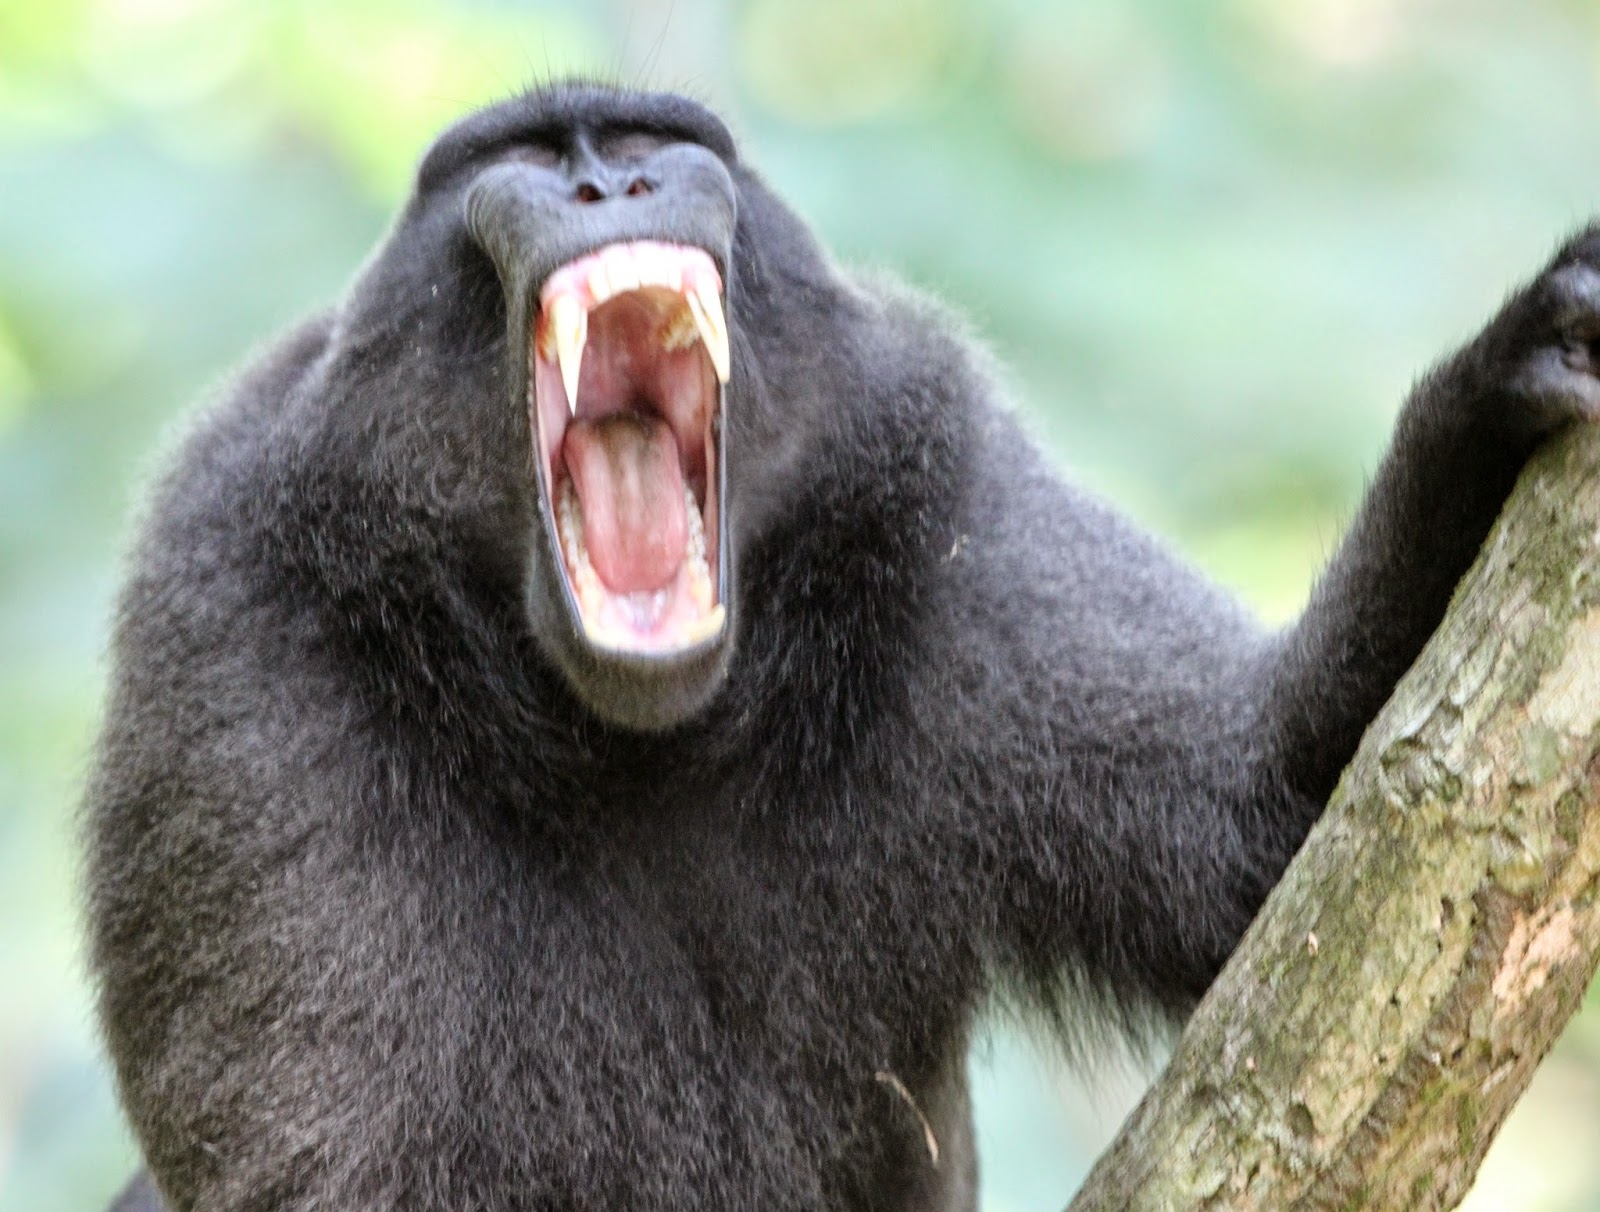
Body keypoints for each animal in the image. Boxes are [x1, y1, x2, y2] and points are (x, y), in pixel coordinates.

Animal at [84, 81, 1600, 1211]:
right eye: (523, 160)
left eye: (650, 145)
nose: (609, 189)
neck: (629, 744)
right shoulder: (236, 633)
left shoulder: (946, 524)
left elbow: (1288, 841)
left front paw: (1487, 408)